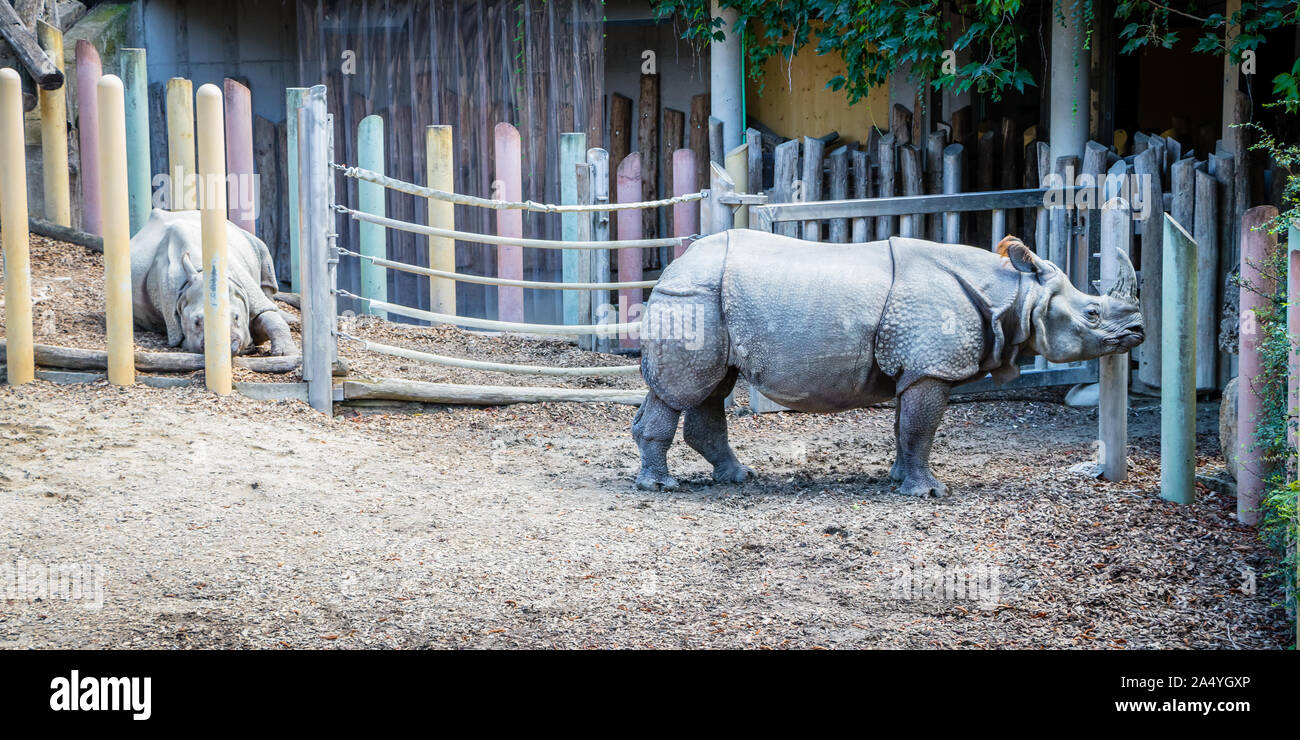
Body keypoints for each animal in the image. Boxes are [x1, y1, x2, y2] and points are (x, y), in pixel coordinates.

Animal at [130, 209, 295, 356]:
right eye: (196, 322)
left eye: (236, 317)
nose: (229, 348)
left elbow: (269, 316)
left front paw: (283, 353)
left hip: (245, 236)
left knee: (262, 254)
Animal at [633, 231, 1144, 497]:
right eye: (1092, 313)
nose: (1138, 332)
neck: (1014, 295)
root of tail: (673, 266)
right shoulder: (932, 366)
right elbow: (922, 427)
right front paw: (930, 493)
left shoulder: (915, 365)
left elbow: (906, 426)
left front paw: (900, 480)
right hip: (693, 298)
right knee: (682, 390)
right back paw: (661, 487)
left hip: (707, 298)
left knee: (713, 387)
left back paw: (738, 478)